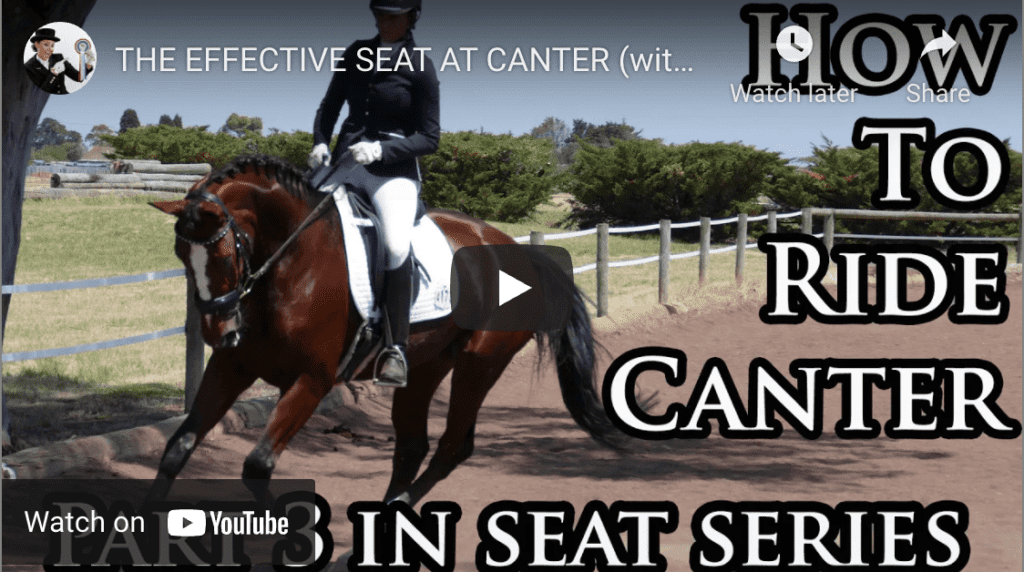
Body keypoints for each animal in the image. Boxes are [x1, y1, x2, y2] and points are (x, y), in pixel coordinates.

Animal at [148, 154, 619, 507]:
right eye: (179, 253)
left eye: (224, 254)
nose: (219, 332)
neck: (291, 264)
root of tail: (518, 252)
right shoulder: (233, 366)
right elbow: (176, 449)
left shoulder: (312, 380)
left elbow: (257, 466)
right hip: (425, 368)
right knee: (413, 447)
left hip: (479, 365)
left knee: (452, 446)